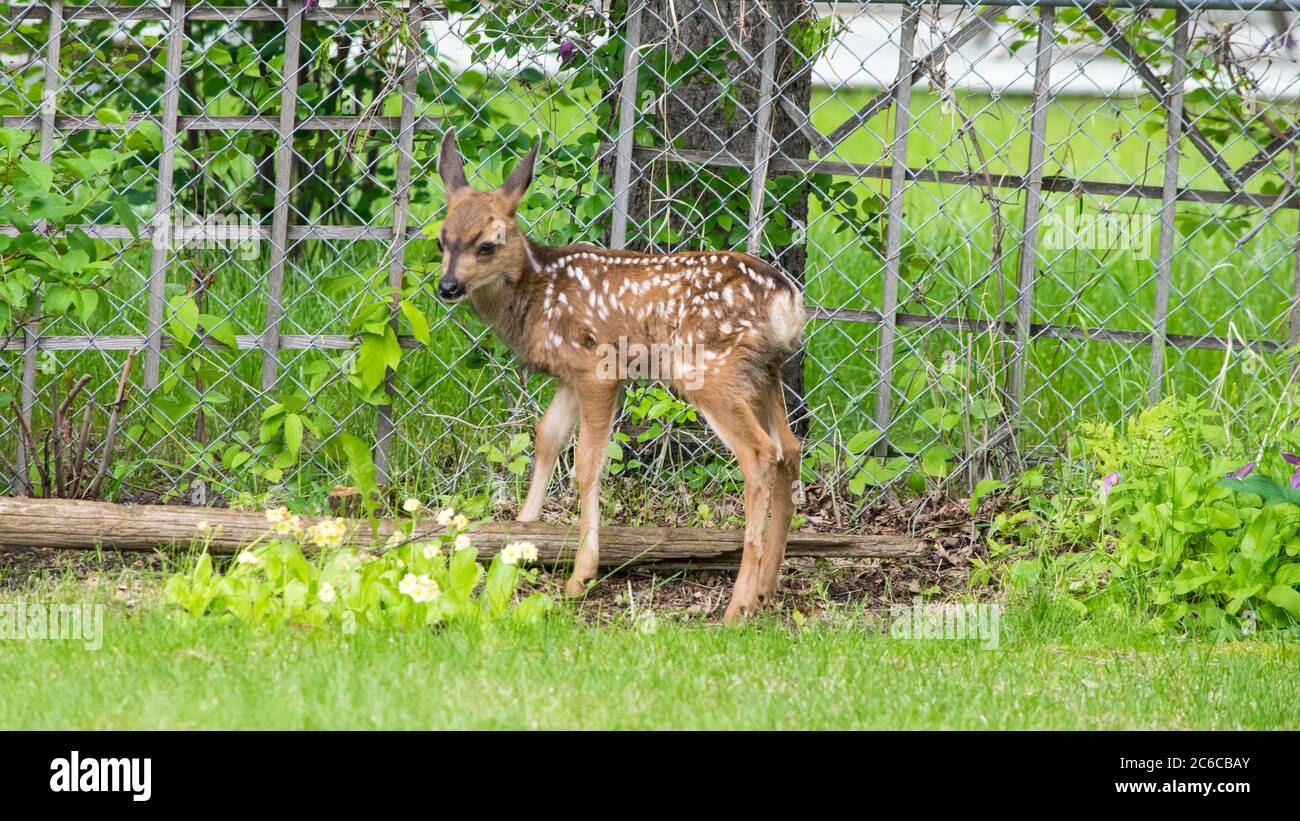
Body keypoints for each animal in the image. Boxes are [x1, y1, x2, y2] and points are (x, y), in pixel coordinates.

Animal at [433, 130, 803, 622]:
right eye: (442, 240)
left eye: (487, 244)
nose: (448, 287)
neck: (539, 294)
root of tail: (787, 301)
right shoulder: (568, 375)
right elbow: (546, 438)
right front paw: (519, 542)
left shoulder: (599, 368)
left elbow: (588, 461)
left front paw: (579, 576)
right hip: (765, 372)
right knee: (789, 449)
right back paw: (764, 592)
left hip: (708, 369)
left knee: (759, 453)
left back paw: (736, 607)